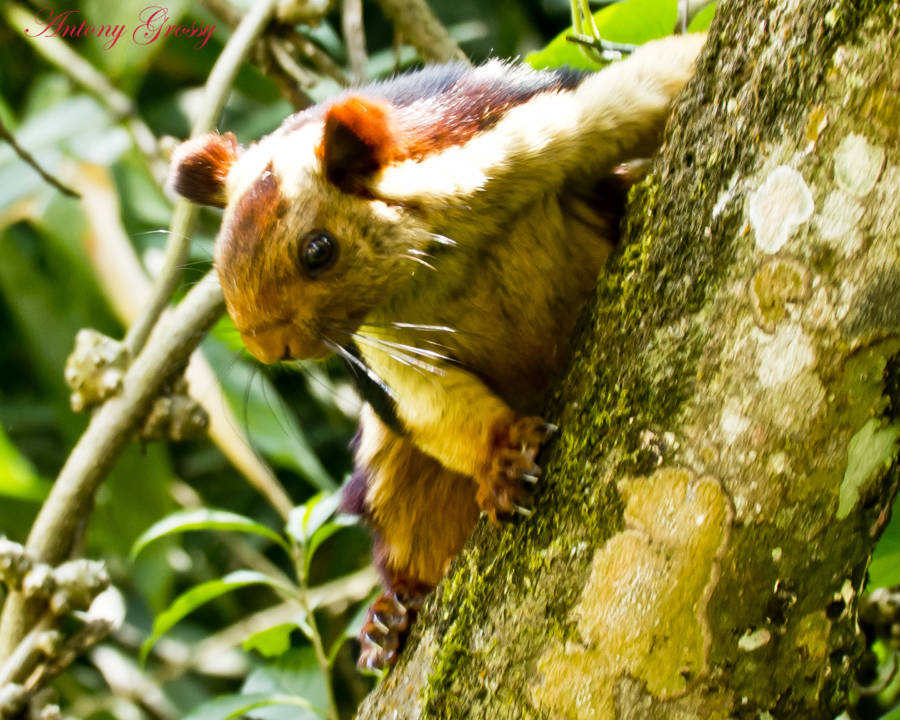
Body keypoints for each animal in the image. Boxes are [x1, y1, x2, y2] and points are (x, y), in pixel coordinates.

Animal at [168, 32, 705, 670]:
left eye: (318, 250)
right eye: (222, 255)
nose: (269, 345)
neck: (437, 257)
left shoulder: (533, 131)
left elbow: (650, 83)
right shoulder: (382, 347)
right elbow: (432, 406)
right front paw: (502, 457)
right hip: (389, 471)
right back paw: (391, 619)